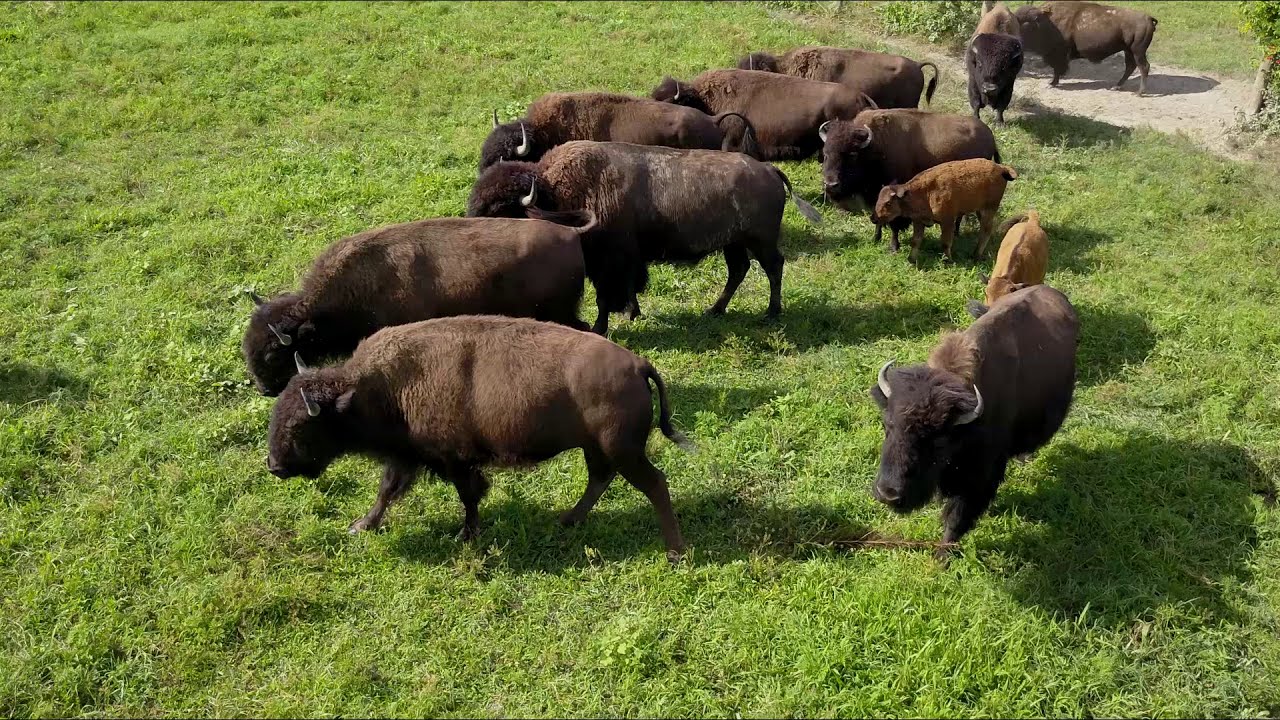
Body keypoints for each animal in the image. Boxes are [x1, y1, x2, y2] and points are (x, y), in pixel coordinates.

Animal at [267, 316, 691, 561]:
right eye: (276, 414)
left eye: (301, 427)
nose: (274, 466)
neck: (372, 389)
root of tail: (638, 364)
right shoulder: (406, 456)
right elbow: (387, 491)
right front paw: (362, 525)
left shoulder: (454, 460)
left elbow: (468, 496)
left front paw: (465, 534)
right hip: (598, 449)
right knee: (600, 479)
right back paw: (568, 520)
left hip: (623, 450)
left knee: (655, 484)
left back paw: (675, 551)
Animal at [466, 140, 821, 335]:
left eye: (501, 210)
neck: (552, 192)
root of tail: (769, 170)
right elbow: (626, 290)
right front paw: (633, 313)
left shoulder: (611, 261)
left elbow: (607, 297)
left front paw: (603, 327)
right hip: (733, 244)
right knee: (739, 270)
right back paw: (715, 310)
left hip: (760, 240)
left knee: (773, 267)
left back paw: (771, 313)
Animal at [870, 284, 1079, 558]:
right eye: (887, 426)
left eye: (938, 442)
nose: (888, 494)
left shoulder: (979, 477)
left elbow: (956, 517)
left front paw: (942, 557)